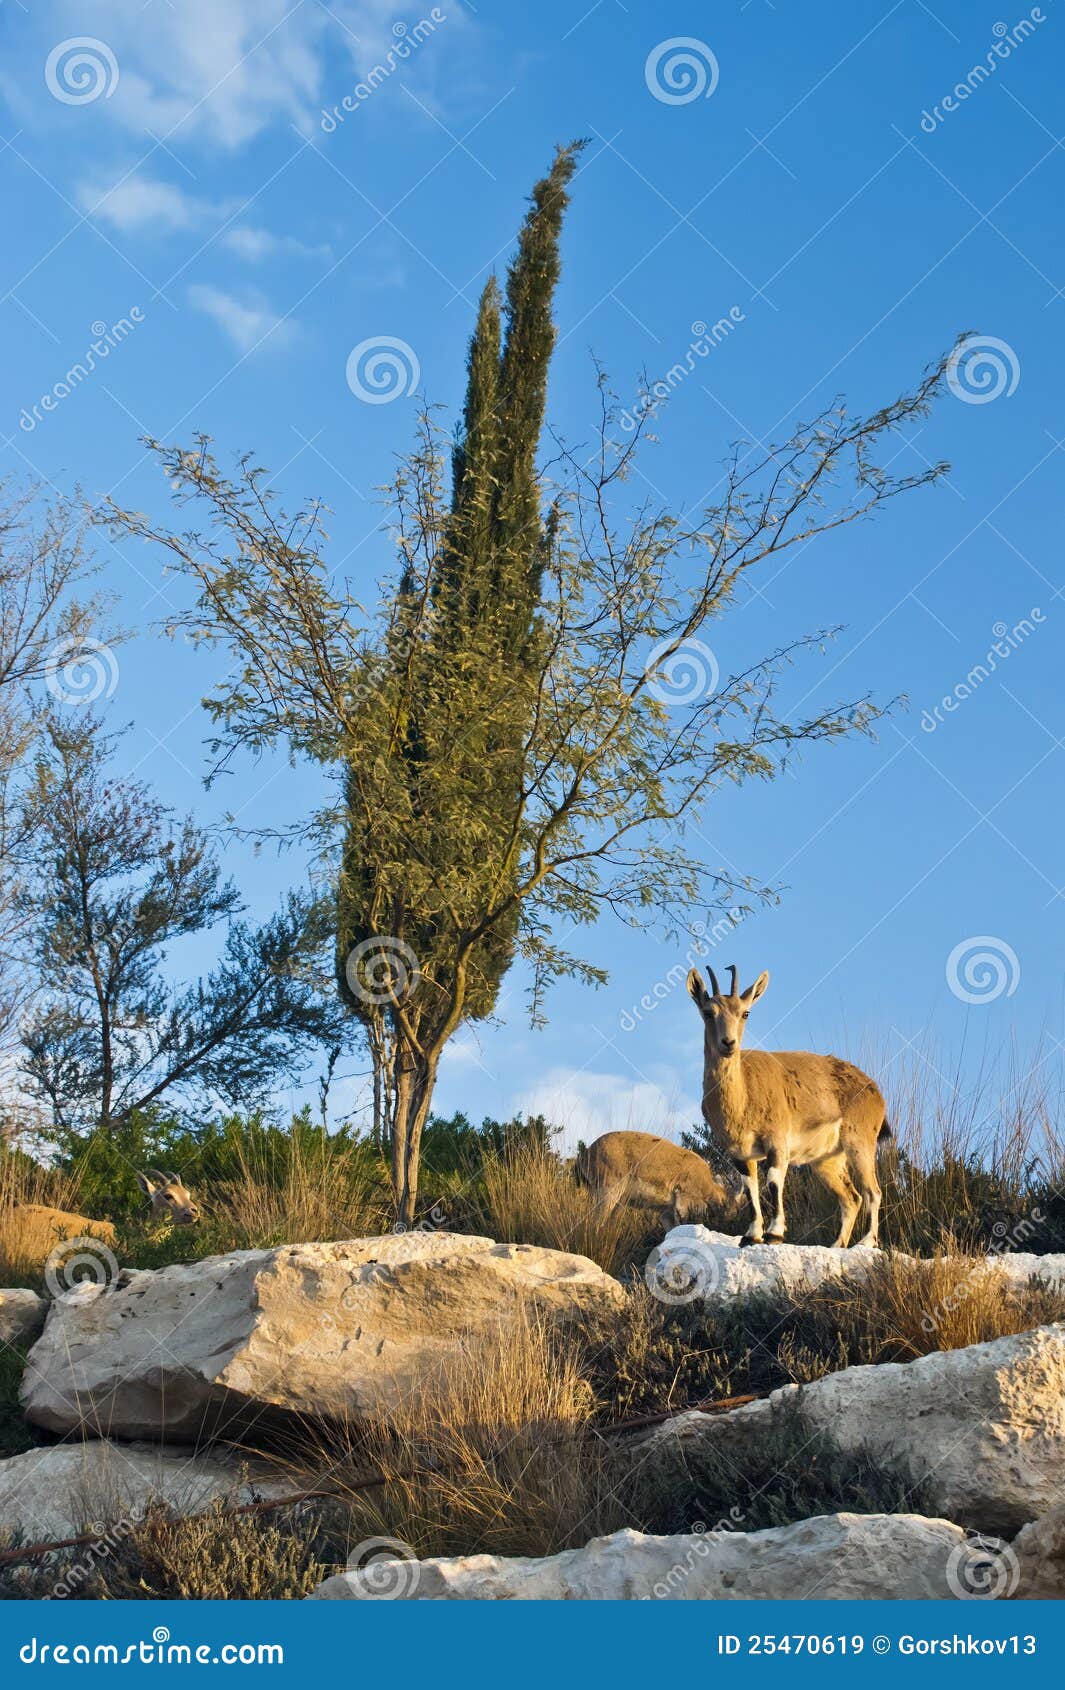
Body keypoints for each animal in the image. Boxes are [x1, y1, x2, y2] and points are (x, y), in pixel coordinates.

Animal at [575, 1129, 740, 1229]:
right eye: (727, 1202)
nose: (734, 1217)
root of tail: (586, 1153)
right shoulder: (682, 1204)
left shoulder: (665, 1213)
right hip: (608, 1194)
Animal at [686, 965, 889, 1248]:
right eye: (708, 1012)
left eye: (745, 1012)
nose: (728, 1043)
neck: (742, 1096)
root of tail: (874, 1089)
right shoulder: (739, 1152)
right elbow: (750, 1188)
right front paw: (752, 1235)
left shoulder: (777, 1141)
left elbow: (773, 1182)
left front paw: (774, 1233)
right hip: (827, 1159)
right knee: (851, 1197)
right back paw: (837, 1245)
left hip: (860, 1141)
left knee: (873, 1191)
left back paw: (867, 1242)